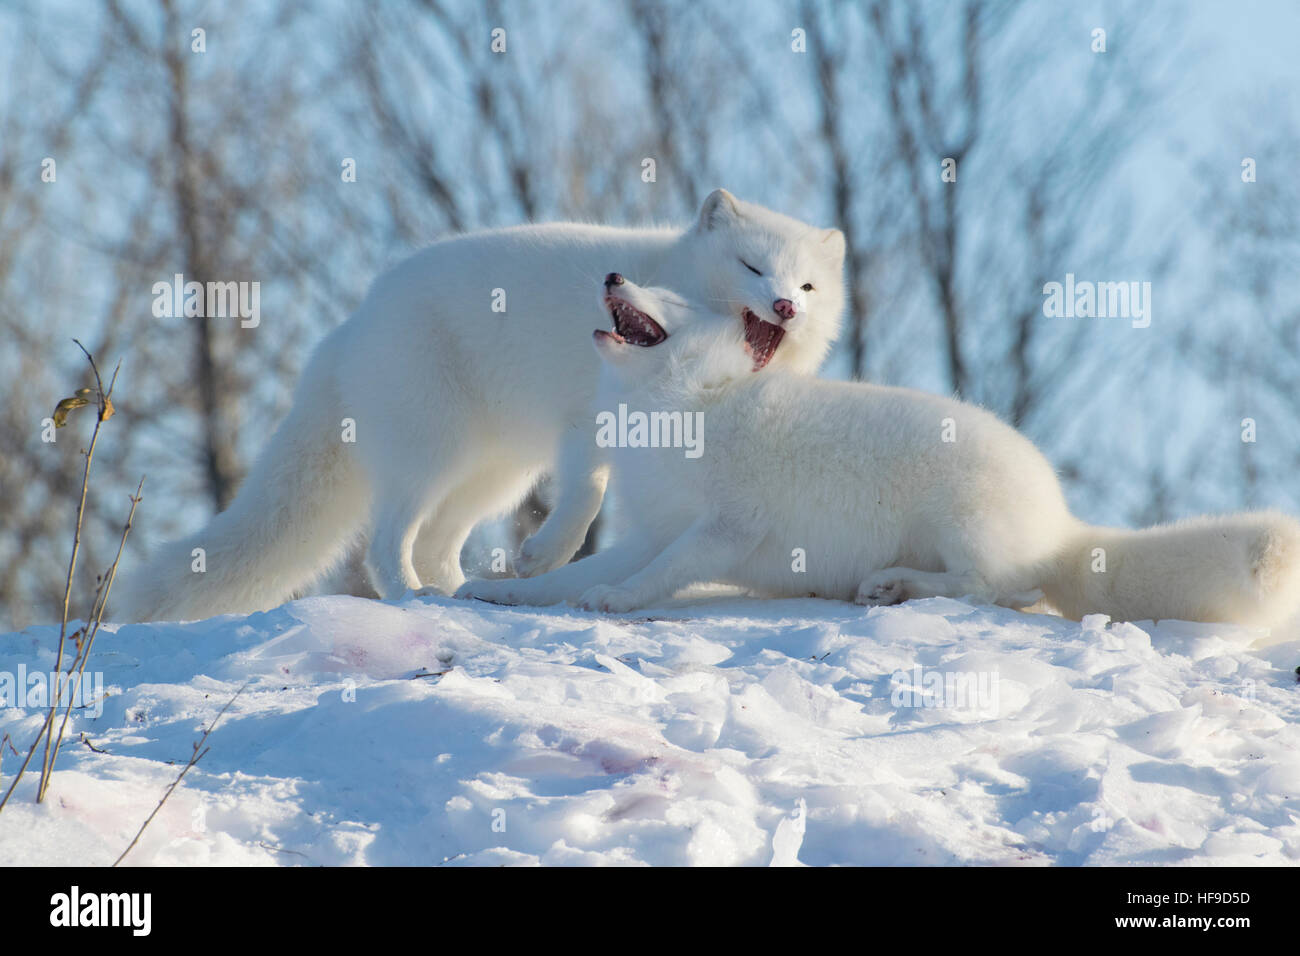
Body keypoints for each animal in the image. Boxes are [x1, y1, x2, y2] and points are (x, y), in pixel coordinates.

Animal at [114, 191, 847, 622]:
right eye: (752, 267)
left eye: (808, 284)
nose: (786, 305)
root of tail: (351, 326)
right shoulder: (583, 423)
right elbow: (586, 497)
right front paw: (547, 555)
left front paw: (532, 566)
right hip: (430, 453)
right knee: (385, 542)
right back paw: (411, 594)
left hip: (494, 474)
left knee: (438, 541)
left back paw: (458, 589)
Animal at [457, 275, 1300, 636]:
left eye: (676, 300)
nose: (611, 273)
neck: (692, 406)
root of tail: (1061, 523)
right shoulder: (651, 530)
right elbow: (574, 576)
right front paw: (501, 593)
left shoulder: (727, 528)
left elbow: (656, 577)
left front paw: (617, 602)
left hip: (964, 521)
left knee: (1003, 589)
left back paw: (896, 586)